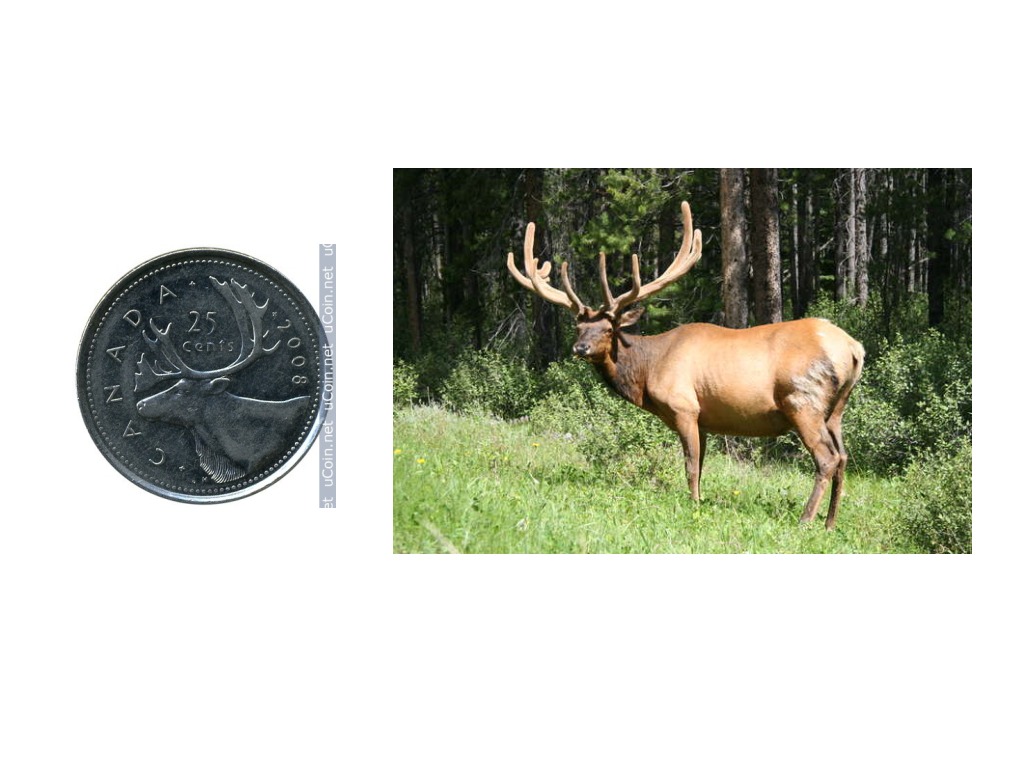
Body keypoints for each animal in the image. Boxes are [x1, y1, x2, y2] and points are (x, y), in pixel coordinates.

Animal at [508, 202, 865, 529]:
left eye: (609, 329)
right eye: (578, 327)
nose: (580, 348)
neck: (648, 370)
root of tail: (854, 348)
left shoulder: (684, 407)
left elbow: (691, 465)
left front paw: (693, 504)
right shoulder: (704, 418)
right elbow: (702, 465)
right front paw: (700, 499)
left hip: (802, 400)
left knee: (827, 458)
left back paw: (806, 519)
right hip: (835, 409)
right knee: (844, 456)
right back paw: (830, 523)